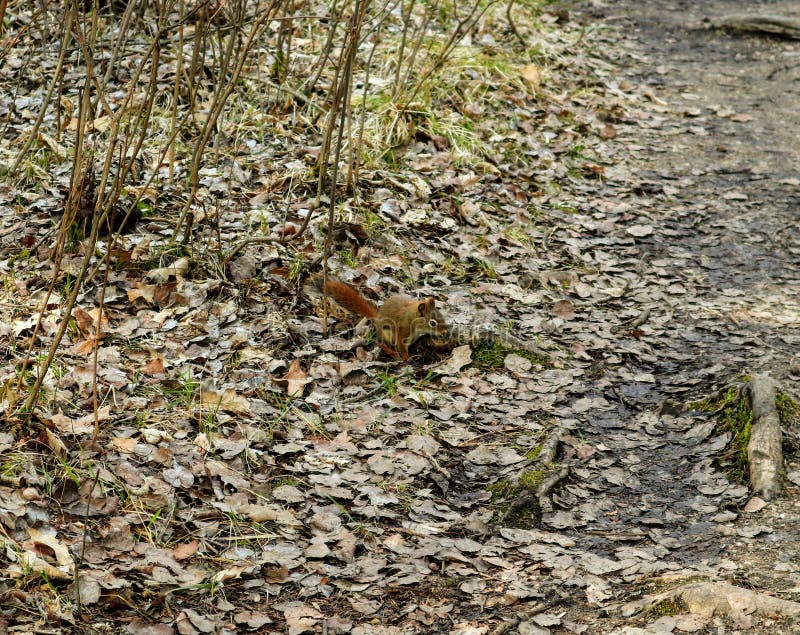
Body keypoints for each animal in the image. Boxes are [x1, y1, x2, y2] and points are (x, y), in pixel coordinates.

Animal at [313, 276, 447, 360]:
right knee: (383, 343)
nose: (445, 332)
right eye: (433, 323)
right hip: (386, 333)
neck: (413, 318)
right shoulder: (402, 331)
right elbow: (401, 346)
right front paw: (407, 358)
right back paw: (392, 353)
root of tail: (376, 319)